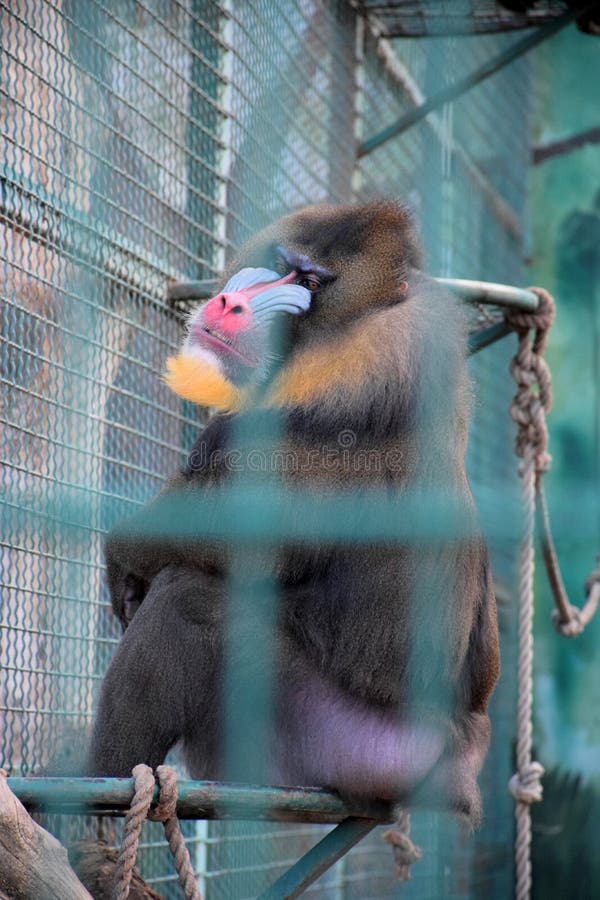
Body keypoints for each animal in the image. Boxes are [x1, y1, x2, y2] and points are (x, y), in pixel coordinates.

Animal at [91, 200, 500, 825]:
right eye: (282, 263)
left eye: (309, 283)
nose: (228, 304)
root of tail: (459, 757)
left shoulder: (340, 408)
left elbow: (251, 536)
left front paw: (125, 554)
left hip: (329, 731)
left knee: (191, 599)